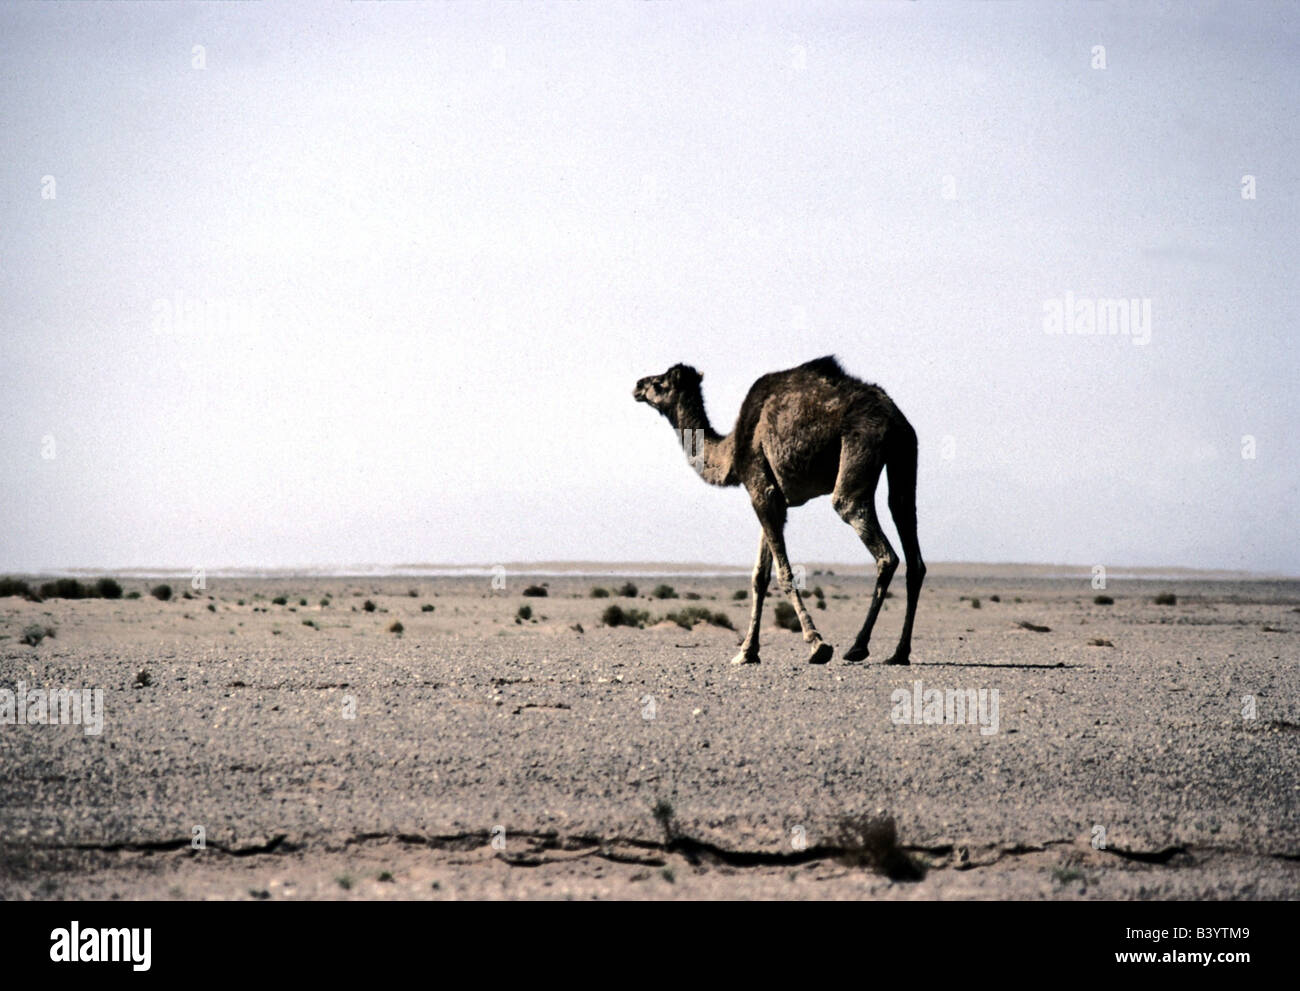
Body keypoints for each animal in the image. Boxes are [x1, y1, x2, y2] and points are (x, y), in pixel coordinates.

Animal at [633, 356, 925, 666]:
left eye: (659, 383)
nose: (638, 385)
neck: (730, 451)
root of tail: (893, 416)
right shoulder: (774, 499)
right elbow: (759, 576)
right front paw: (746, 652)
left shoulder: (760, 487)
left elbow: (783, 573)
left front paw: (817, 644)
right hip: (905, 453)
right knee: (907, 532)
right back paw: (899, 653)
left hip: (860, 445)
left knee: (873, 537)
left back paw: (857, 647)